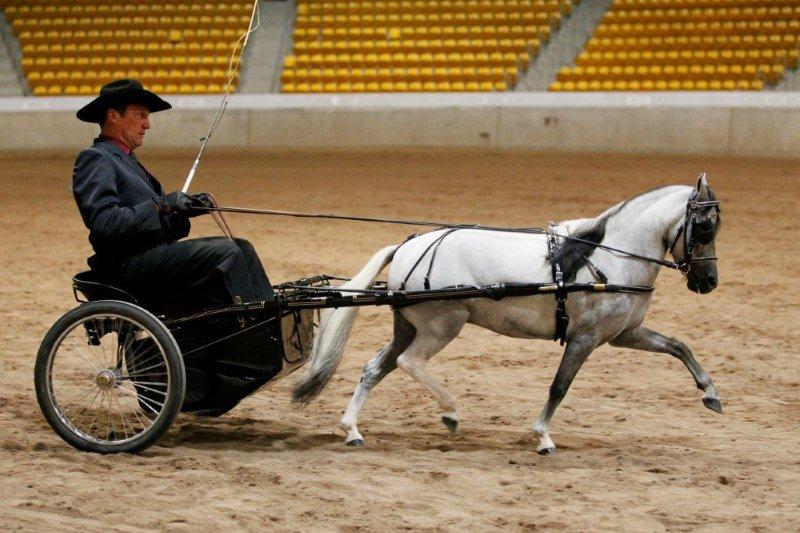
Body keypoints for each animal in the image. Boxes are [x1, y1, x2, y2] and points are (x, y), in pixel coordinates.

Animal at [292, 175, 723, 454]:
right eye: (703, 227)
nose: (708, 282)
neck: (608, 257)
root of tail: (407, 245)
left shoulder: (624, 334)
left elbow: (679, 347)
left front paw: (711, 394)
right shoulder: (584, 339)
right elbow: (559, 387)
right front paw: (543, 436)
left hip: (407, 325)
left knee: (375, 368)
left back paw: (352, 429)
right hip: (442, 325)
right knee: (409, 362)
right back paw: (450, 413)